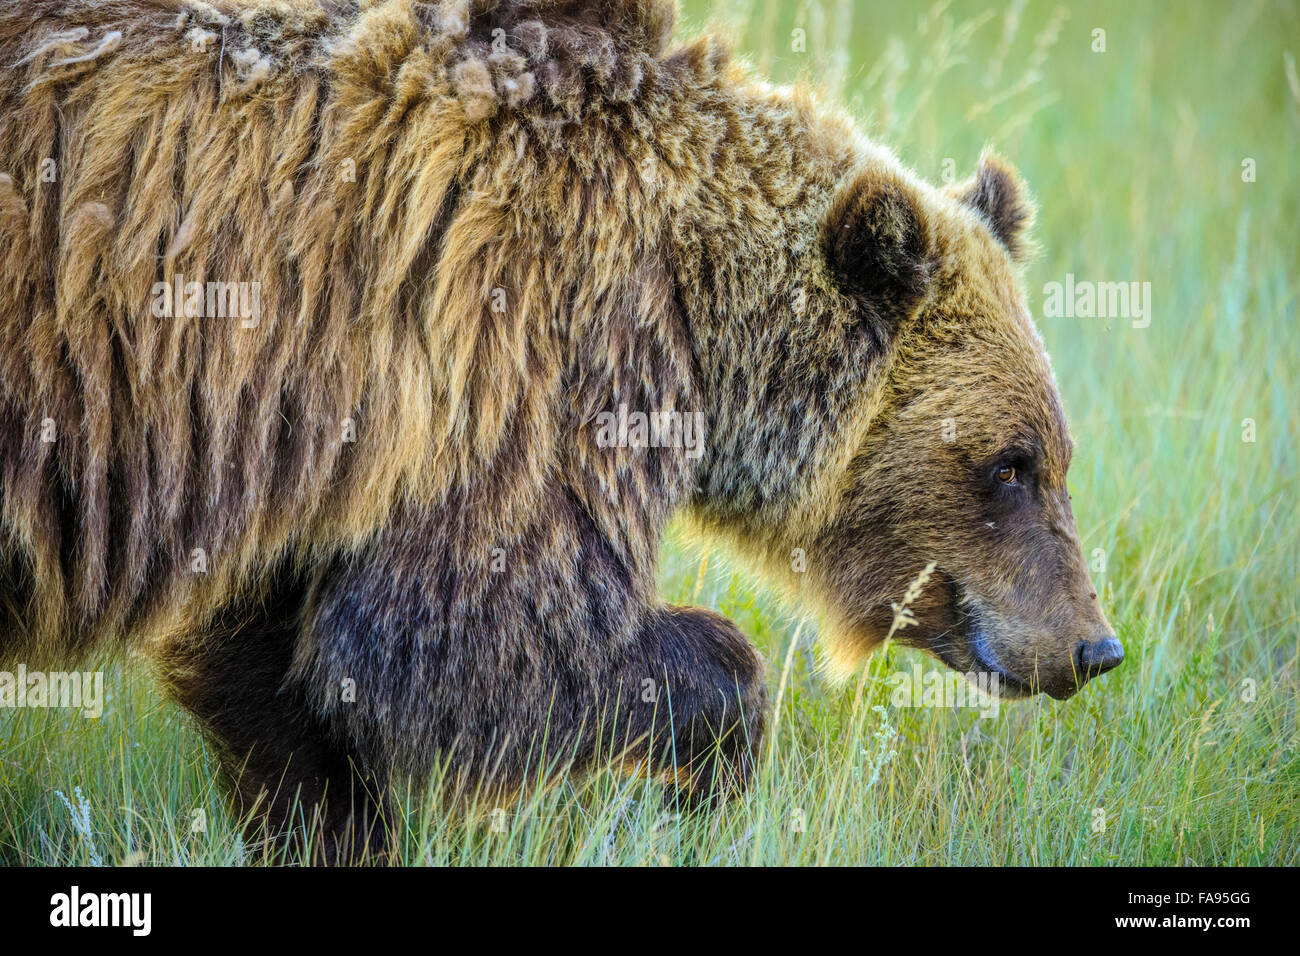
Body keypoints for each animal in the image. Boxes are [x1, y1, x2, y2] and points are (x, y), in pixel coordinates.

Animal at [0, 0, 1122, 863]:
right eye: (1008, 465)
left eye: (1057, 455)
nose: (1093, 644)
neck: (694, 304)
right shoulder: (517, 351)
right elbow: (482, 639)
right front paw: (702, 774)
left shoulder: (312, 454)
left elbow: (276, 664)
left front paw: (327, 824)